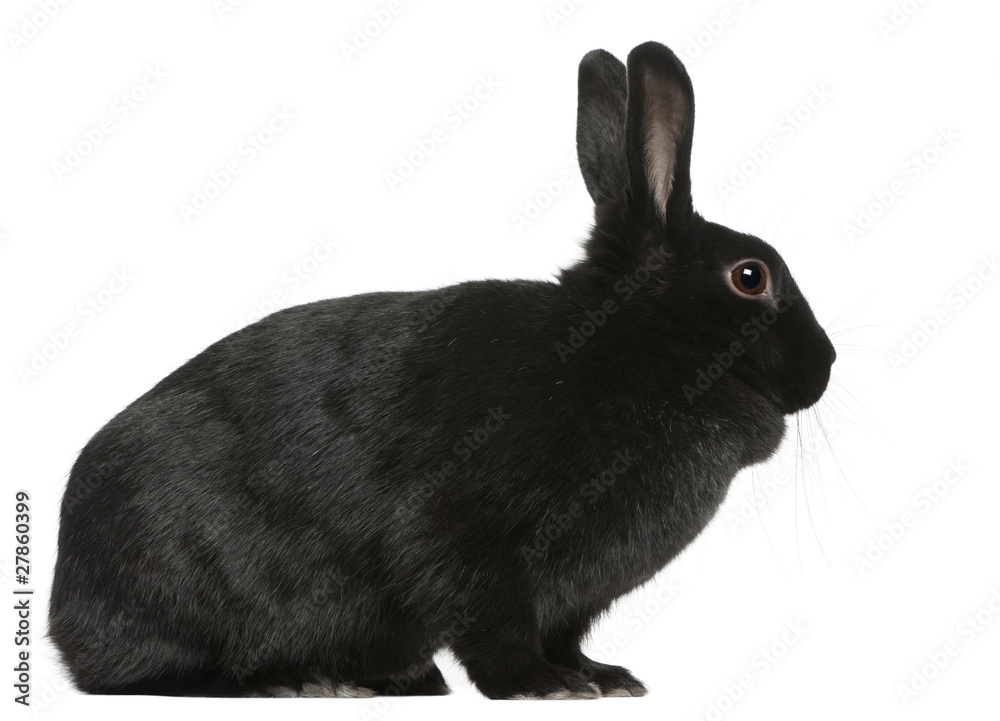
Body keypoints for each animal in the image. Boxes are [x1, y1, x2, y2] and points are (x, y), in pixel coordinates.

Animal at [49, 41, 835, 700]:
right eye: (750, 276)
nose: (825, 368)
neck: (635, 346)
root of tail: (63, 605)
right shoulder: (466, 539)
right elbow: (491, 623)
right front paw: (543, 688)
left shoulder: (574, 598)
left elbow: (564, 634)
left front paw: (603, 679)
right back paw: (297, 682)